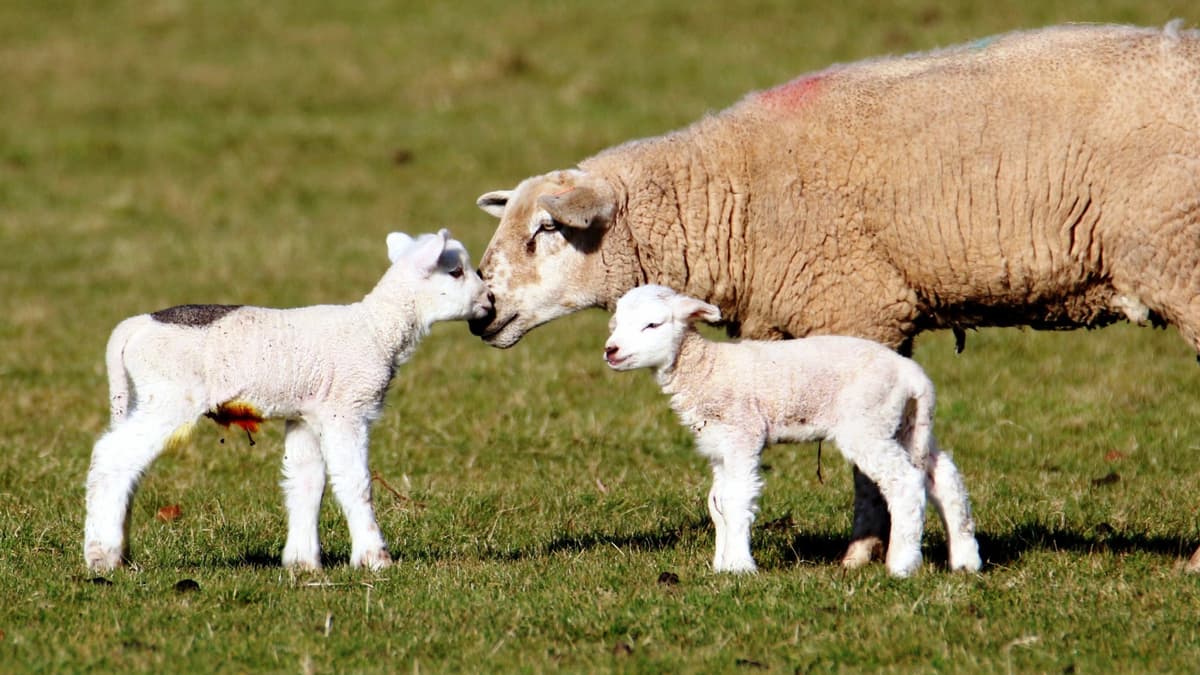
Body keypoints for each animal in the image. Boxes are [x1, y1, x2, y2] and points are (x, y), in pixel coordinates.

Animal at [83, 229, 491, 573]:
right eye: (456, 272)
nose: (489, 300)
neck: (376, 329)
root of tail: (135, 325)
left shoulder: (307, 414)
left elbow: (306, 482)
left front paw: (303, 564)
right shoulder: (346, 409)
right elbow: (354, 481)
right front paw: (375, 558)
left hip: (146, 396)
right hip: (170, 395)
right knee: (112, 456)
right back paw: (102, 556)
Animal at [604, 285, 981, 577]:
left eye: (652, 324)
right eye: (616, 323)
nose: (611, 350)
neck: (707, 369)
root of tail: (913, 376)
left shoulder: (743, 434)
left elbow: (736, 499)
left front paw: (739, 567)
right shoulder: (720, 446)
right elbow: (717, 503)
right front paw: (720, 565)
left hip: (868, 423)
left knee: (904, 482)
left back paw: (903, 564)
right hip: (905, 423)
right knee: (943, 476)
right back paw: (965, 560)